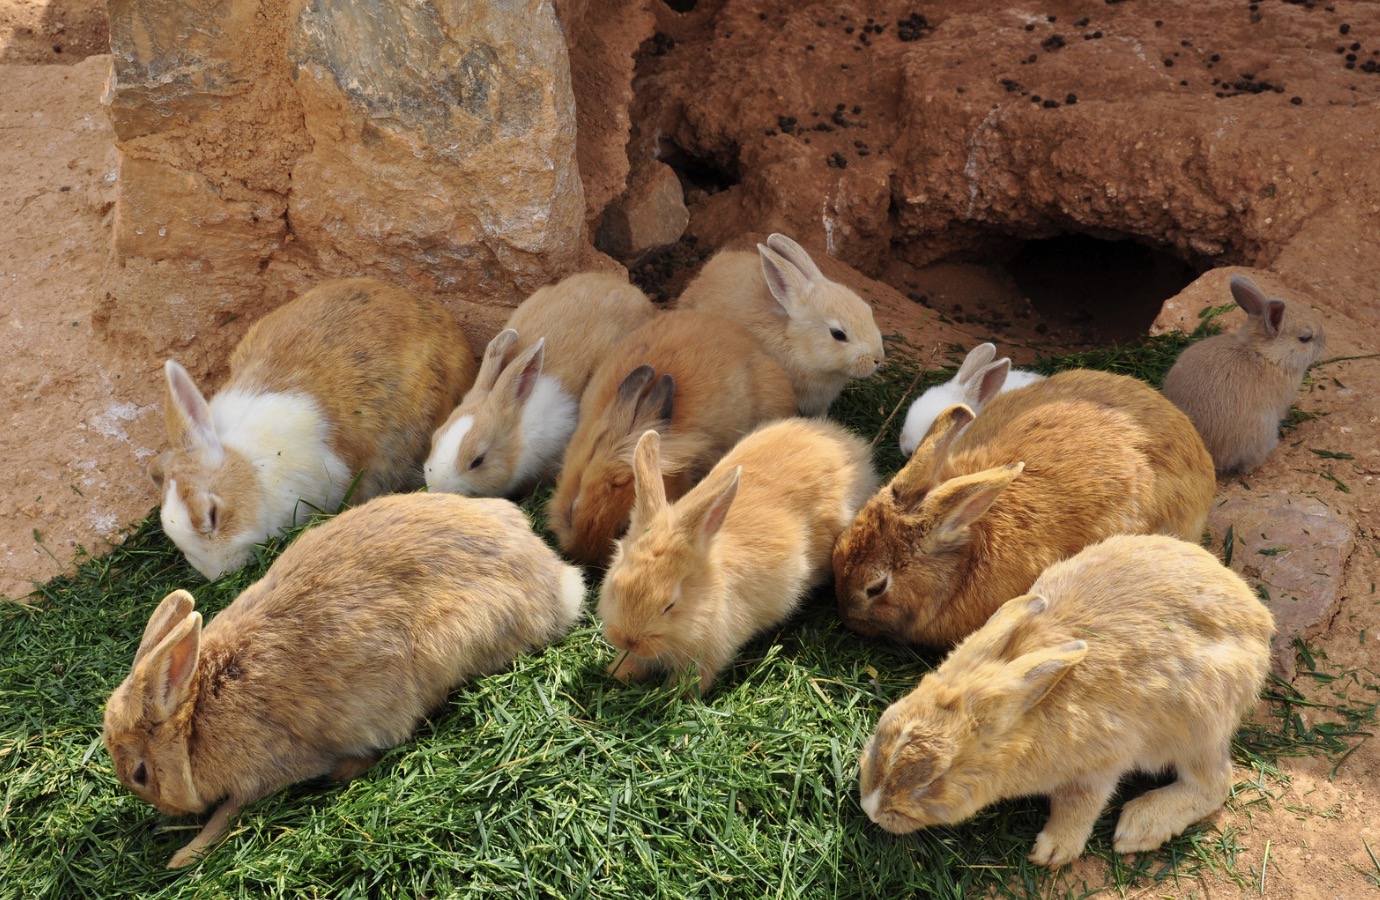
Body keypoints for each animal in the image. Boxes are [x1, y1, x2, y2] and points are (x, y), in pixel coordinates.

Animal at [103, 491, 585, 868]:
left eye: (141, 774)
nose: (165, 809)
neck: (196, 714)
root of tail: (559, 581)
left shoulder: (268, 772)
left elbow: (229, 812)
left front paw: (183, 856)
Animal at [598, 418, 877, 694]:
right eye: (615, 587)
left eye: (669, 605)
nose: (628, 640)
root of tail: (850, 445)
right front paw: (618, 672)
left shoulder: (708, 654)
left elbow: (693, 678)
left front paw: (676, 693)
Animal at [859, 533, 1274, 868]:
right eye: (883, 724)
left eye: (936, 778)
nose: (872, 810)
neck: (1026, 719)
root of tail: (1259, 621)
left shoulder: (1099, 765)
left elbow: (1079, 804)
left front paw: (1052, 852)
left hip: (1196, 726)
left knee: (1214, 784)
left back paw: (1139, 827)